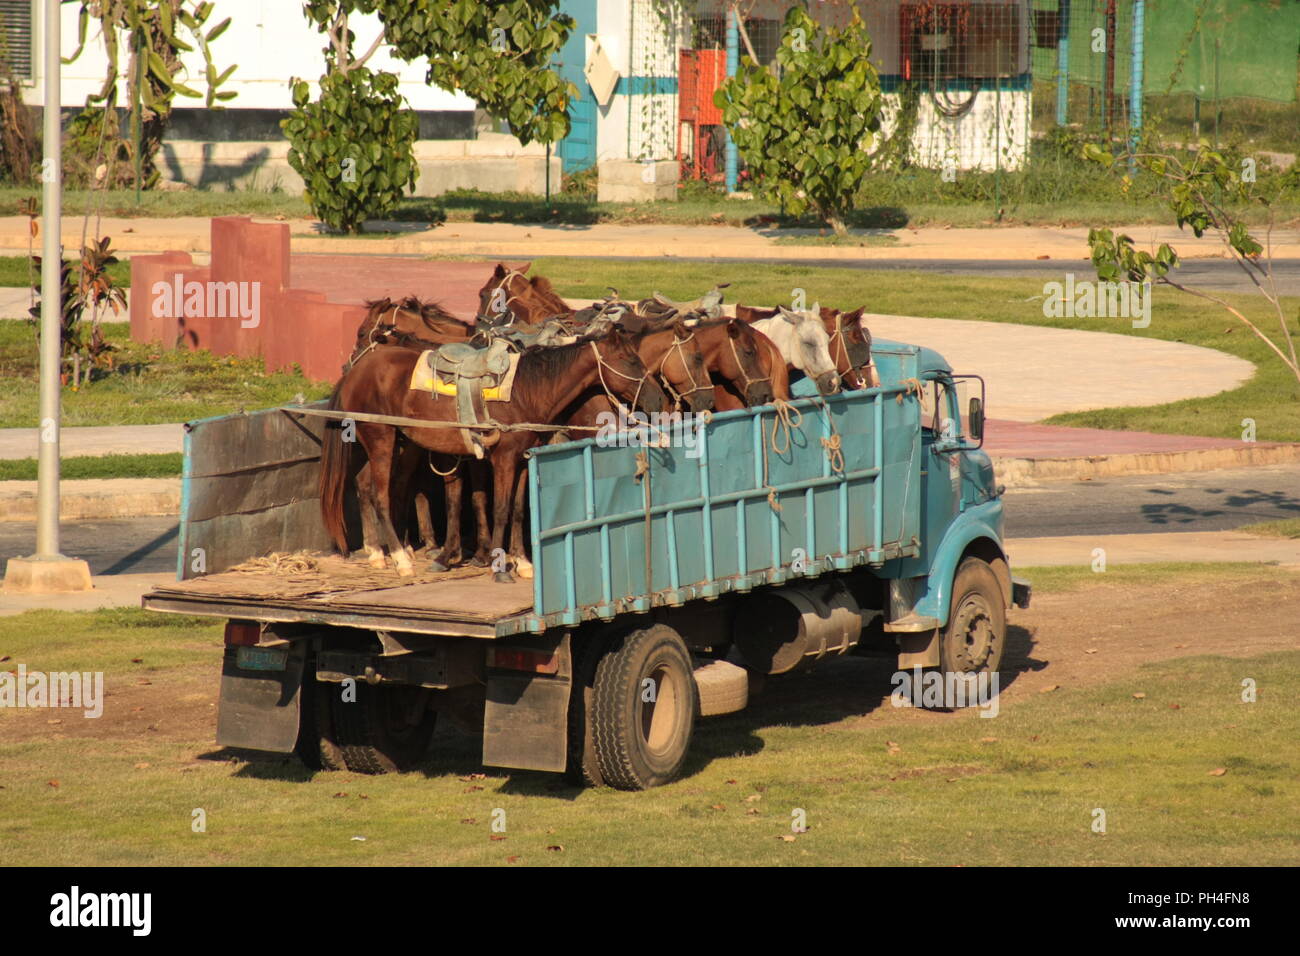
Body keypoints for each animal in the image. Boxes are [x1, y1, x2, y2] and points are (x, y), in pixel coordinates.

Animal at [319, 330, 670, 583]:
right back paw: (402, 560)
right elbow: (499, 508)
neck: (528, 391)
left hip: (396, 443)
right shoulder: (504, 459)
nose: (657, 399)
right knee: (380, 496)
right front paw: (499, 567)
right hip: (381, 439)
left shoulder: (524, 458)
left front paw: (523, 563)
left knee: (366, 487)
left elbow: (517, 509)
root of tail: (356, 370)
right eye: (629, 360)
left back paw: (378, 554)